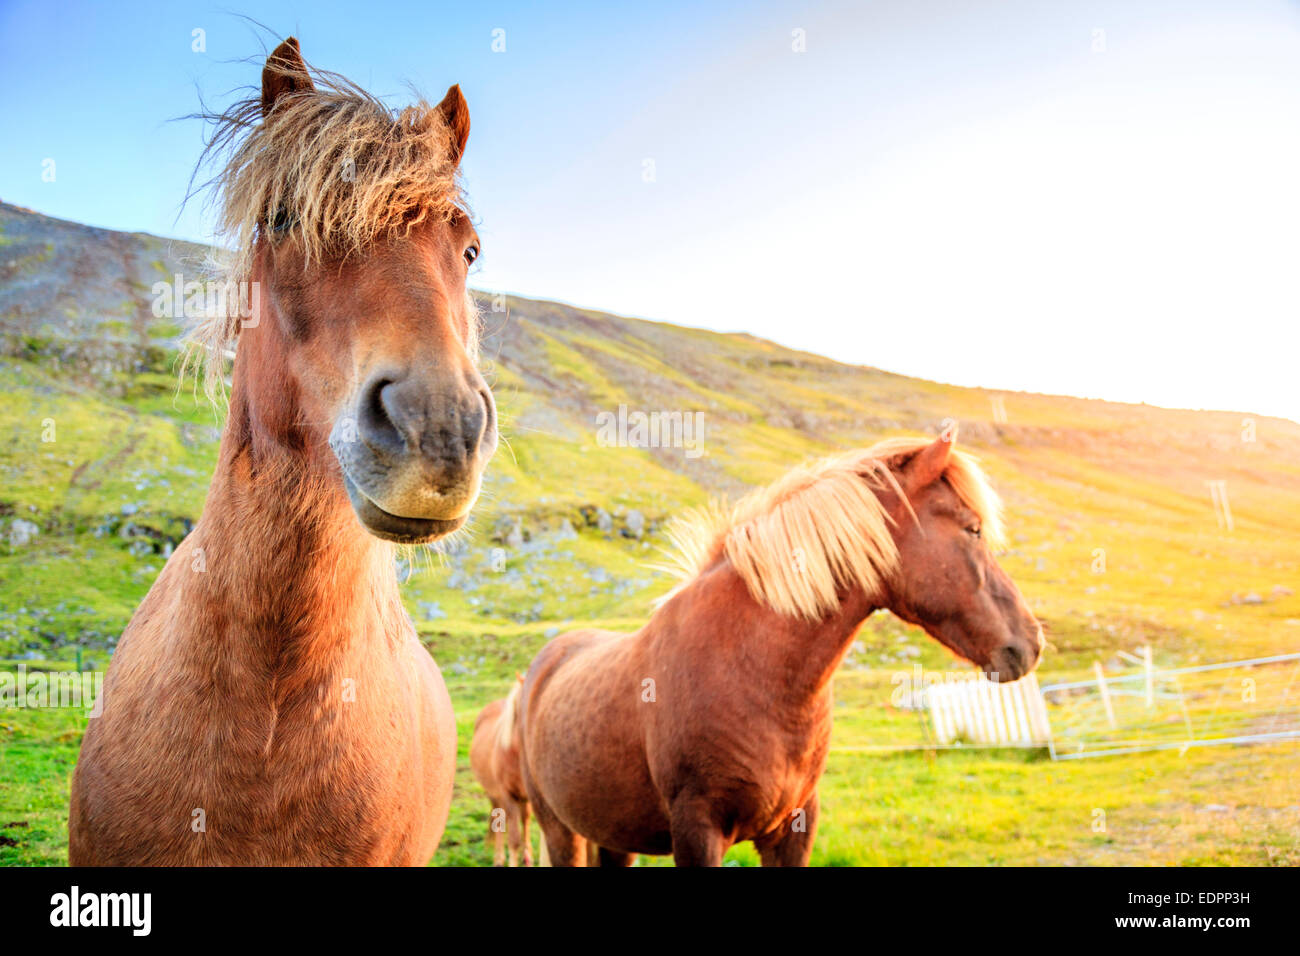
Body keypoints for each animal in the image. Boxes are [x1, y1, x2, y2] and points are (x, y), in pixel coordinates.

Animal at [469, 678, 534, 866]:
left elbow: (526, 823)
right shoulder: (508, 795)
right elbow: (513, 839)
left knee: (524, 819)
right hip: (494, 794)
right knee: (499, 821)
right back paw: (498, 858)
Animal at [518, 426, 1042, 866]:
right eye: (973, 528)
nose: (1031, 641)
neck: (756, 672)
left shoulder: (794, 830)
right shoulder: (697, 832)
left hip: (612, 837)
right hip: (559, 830)